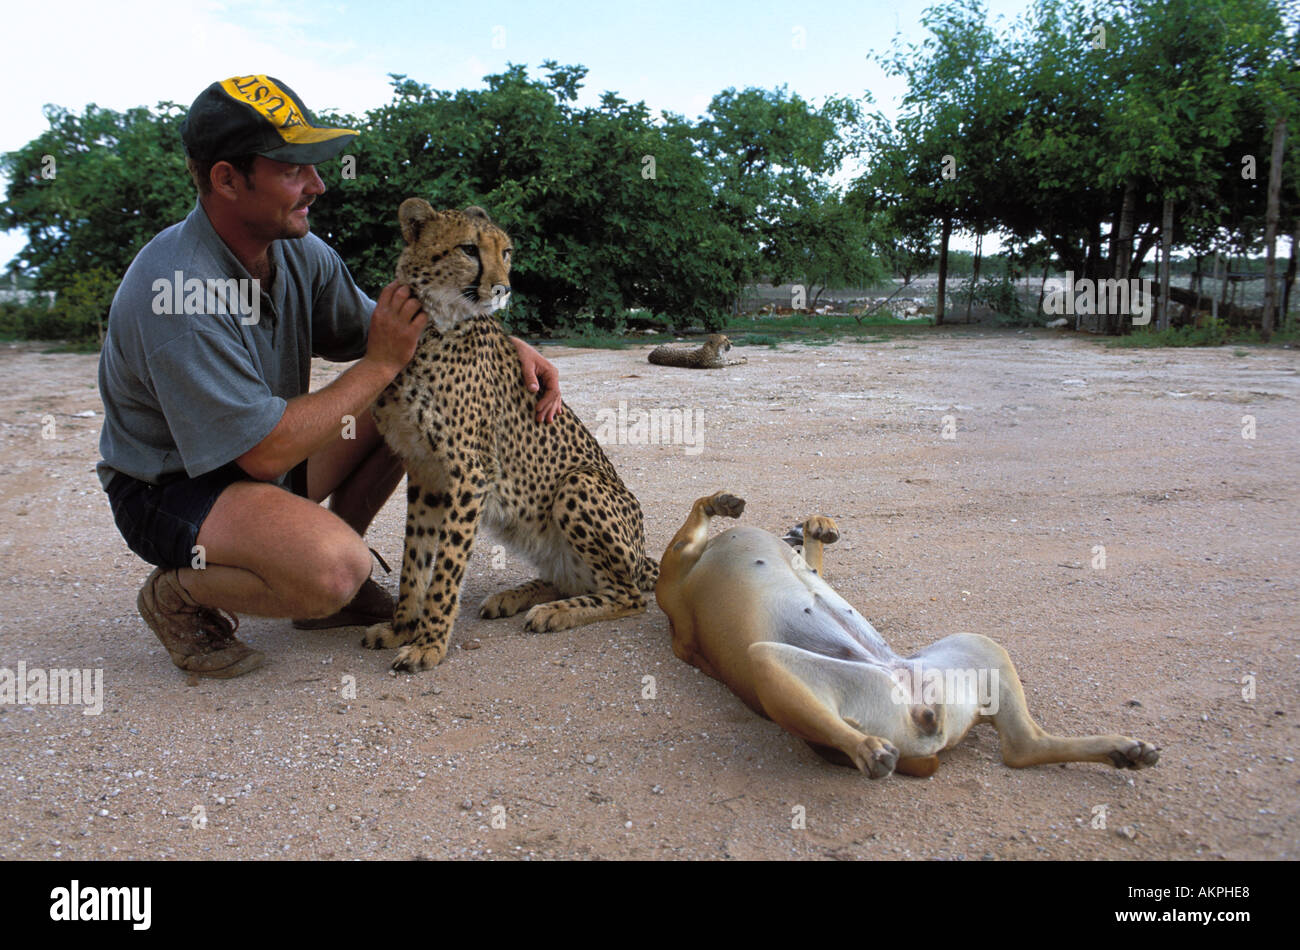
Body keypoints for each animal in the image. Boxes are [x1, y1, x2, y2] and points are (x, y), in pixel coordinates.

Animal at [361, 198, 658, 673]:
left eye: (507, 252)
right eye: (468, 249)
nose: (502, 290)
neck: (432, 326)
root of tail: (644, 554)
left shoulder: (471, 472)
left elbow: (446, 567)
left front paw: (429, 644)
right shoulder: (424, 470)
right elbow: (415, 558)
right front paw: (401, 628)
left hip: (577, 484)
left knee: (628, 595)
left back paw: (553, 612)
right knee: (576, 579)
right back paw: (518, 596)